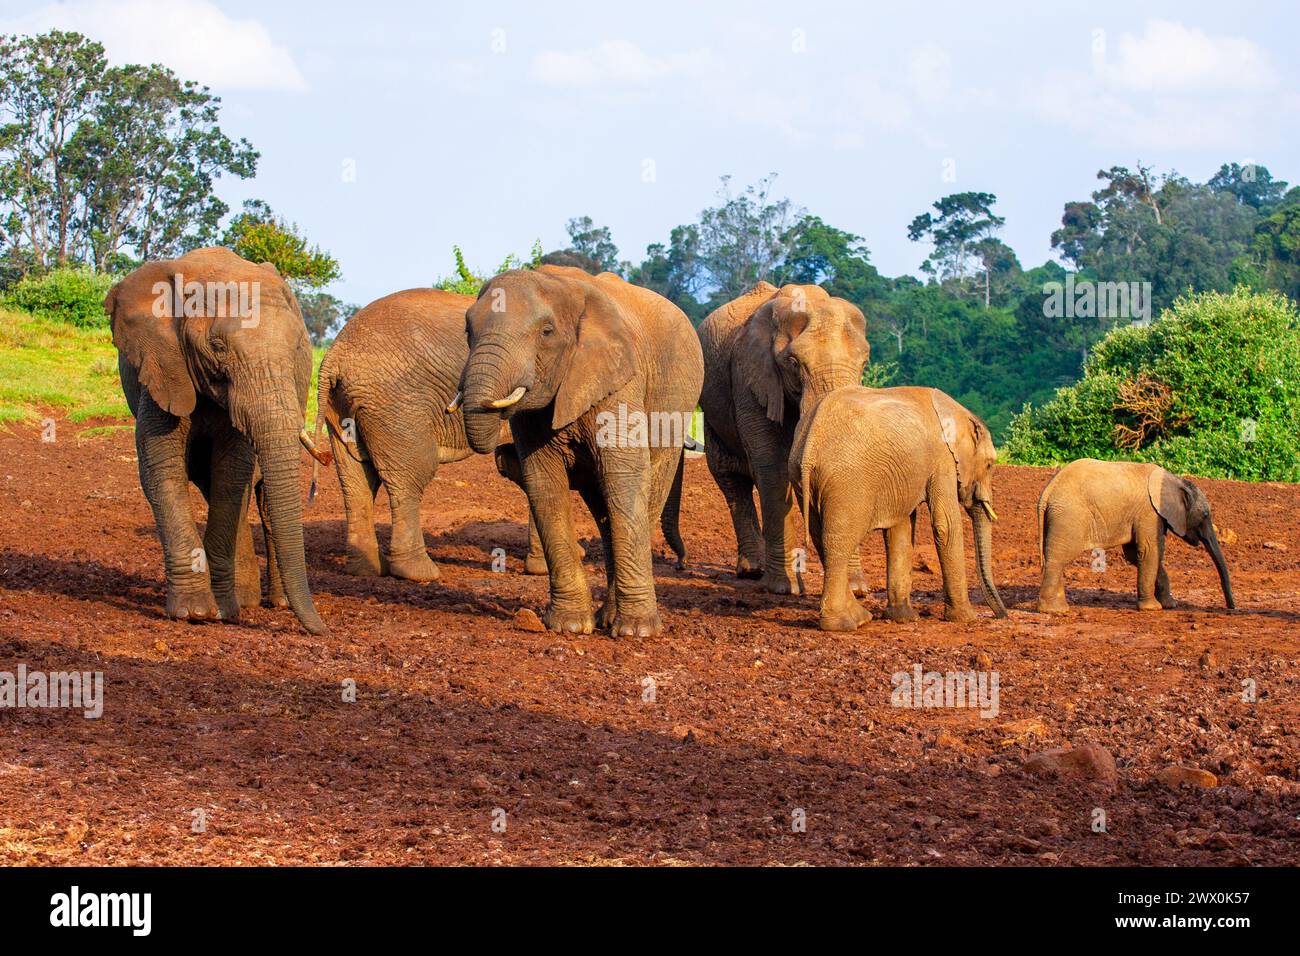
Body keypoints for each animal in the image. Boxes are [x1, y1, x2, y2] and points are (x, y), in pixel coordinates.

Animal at [107, 246, 327, 635]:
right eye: (217, 347)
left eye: (300, 347)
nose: (323, 630)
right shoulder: (164, 366)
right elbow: (161, 469)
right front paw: (195, 613)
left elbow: (232, 474)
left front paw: (221, 610)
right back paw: (247, 599)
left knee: (261, 495)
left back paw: (274, 603)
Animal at [454, 265, 703, 638]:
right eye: (468, 330)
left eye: (546, 332)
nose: (500, 452)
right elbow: (544, 482)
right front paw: (568, 626)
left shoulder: (619, 380)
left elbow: (624, 476)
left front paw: (636, 632)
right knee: (602, 508)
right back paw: (605, 617)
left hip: (677, 403)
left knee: (645, 492)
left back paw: (616, 620)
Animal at [698, 282, 870, 595]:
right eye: (793, 363)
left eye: (864, 363)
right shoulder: (750, 376)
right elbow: (774, 470)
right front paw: (784, 588)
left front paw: (854, 590)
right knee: (730, 476)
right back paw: (753, 571)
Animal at [789, 386, 1008, 631]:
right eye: (989, 465)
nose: (1001, 616)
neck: (958, 412)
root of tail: (811, 442)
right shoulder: (943, 459)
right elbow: (946, 525)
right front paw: (966, 618)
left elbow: (900, 530)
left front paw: (903, 618)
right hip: (846, 481)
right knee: (838, 542)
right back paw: (842, 625)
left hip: (801, 479)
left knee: (821, 540)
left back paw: (860, 617)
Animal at [1036, 459, 1235, 613]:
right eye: (1205, 515)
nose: (1231, 607)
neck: (1176, 481)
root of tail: (1048, 491)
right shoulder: (1149, 512)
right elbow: (1150, 551)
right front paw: (1152, 608)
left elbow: (1136, 555)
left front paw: (1170, 605)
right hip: (1069, 516)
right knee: (1059, 558)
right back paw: (1055, 610)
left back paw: (1059, 607)